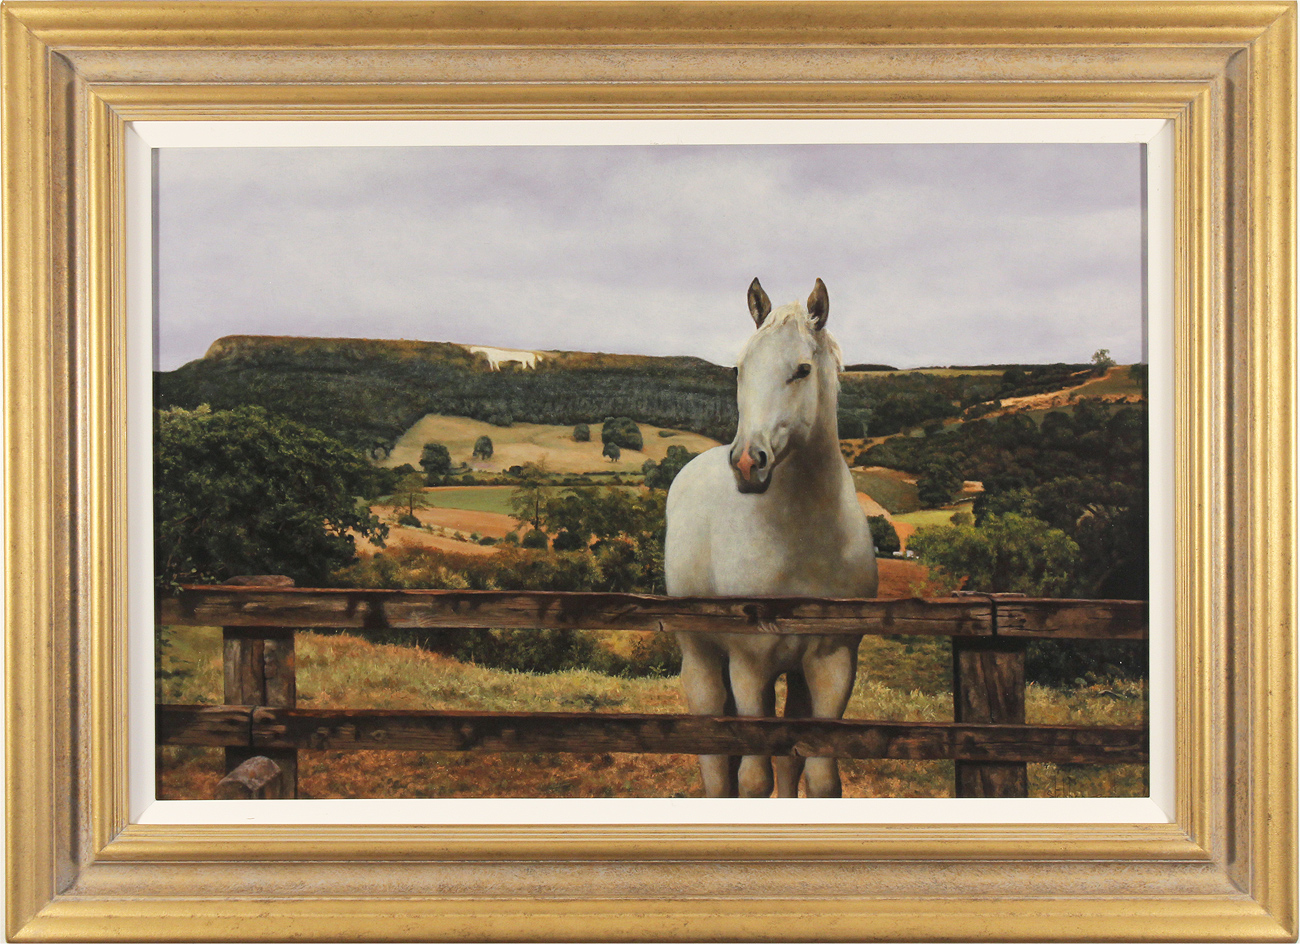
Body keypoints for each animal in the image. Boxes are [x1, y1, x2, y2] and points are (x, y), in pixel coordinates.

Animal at [664, 278, 878, 798]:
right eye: (740, 369)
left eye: (802, 369)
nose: (747, 462)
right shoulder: (749, 667)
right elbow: (753, 778)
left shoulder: (832, 664)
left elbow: (819, 778)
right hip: (701, 658)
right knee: (715, 760)